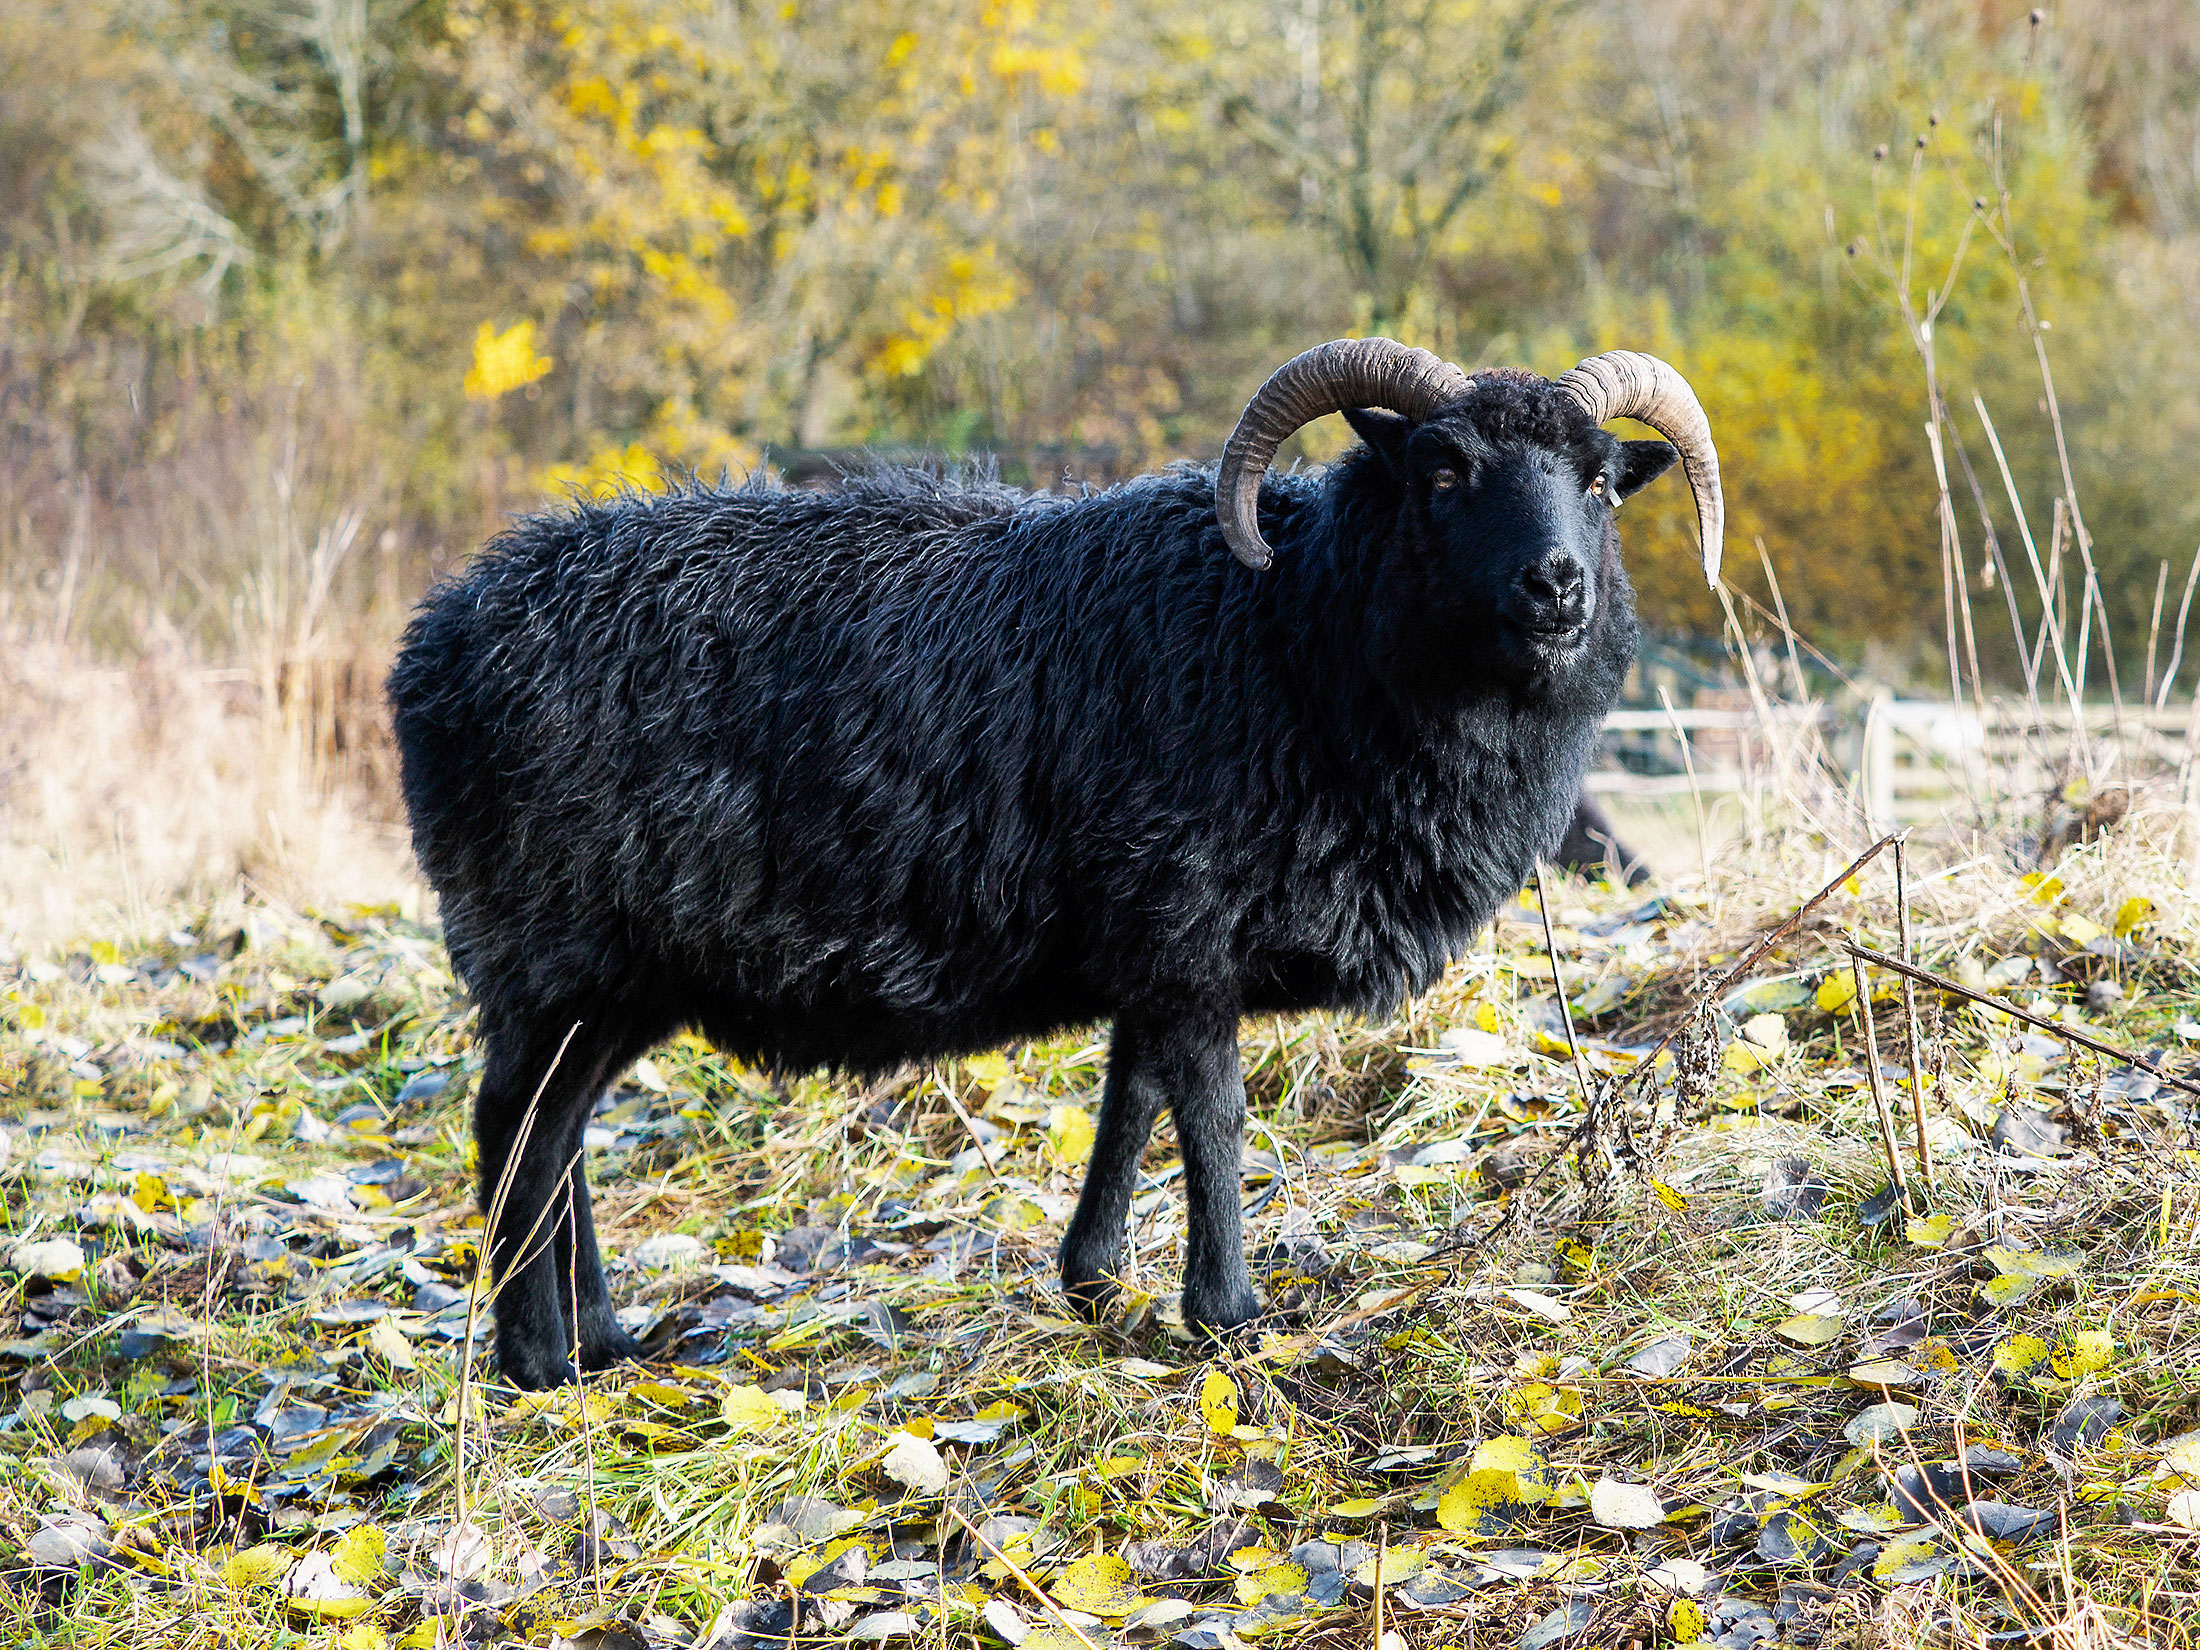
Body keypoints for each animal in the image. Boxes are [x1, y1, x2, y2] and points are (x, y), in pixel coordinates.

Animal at [388, 337, 1724, 1389]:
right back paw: (540, 1363)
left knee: (558, 1134)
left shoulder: (1147, 940)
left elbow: (1130, 1101)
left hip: (615, 970)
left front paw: (1096, 1285)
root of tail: (432, 645)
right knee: (517, 1128)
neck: (1294, 634)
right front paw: (1229, 1318)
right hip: (559, 940)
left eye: (1598, 483)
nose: (1555, 585)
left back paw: (605, 1338)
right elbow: (1211, 1117)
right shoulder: (1189, 925)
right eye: (1443, 472)